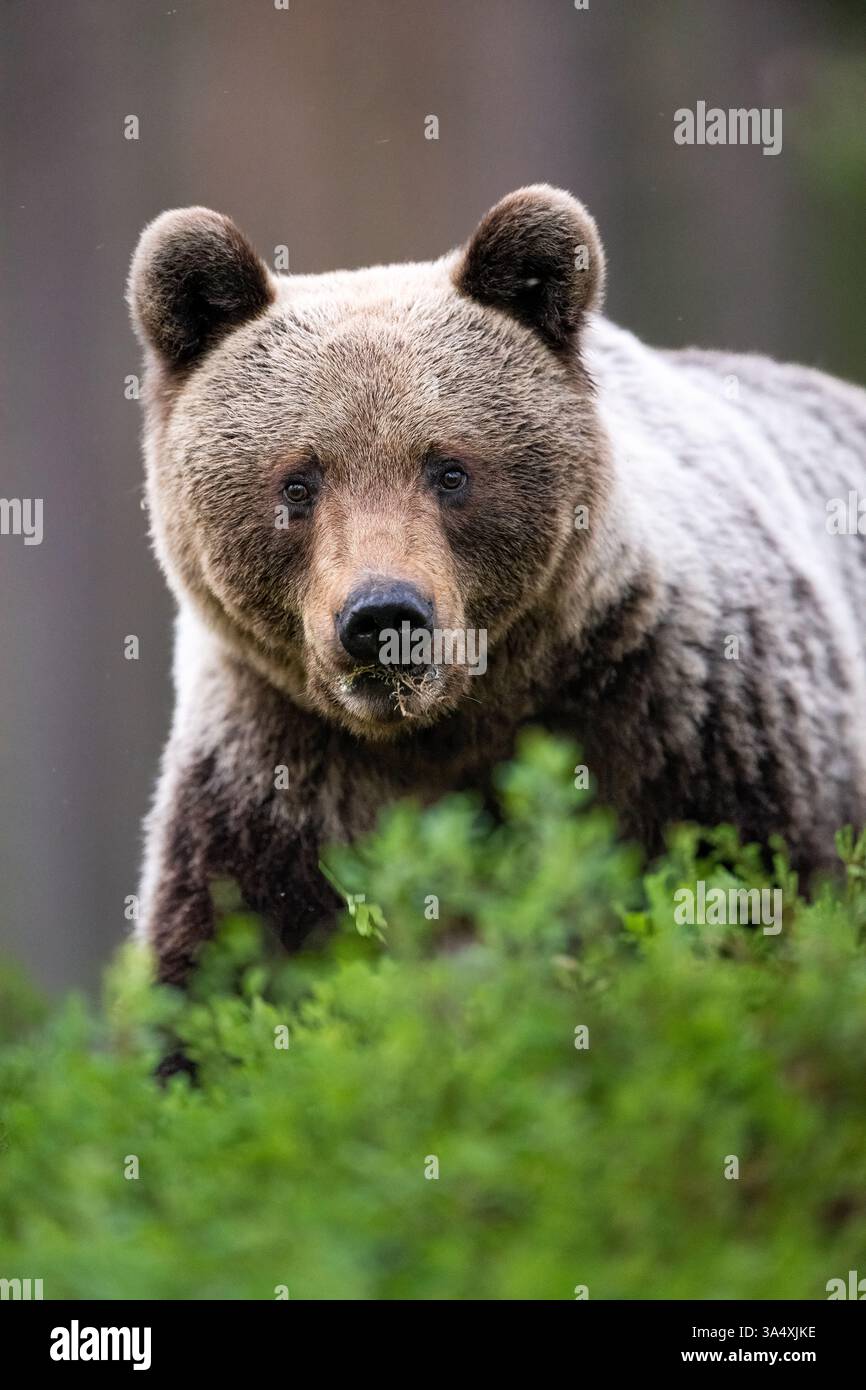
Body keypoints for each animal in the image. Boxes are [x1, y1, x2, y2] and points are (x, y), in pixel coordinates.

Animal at [128, 185, 866, 986]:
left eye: (449, 469)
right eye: (298, 482)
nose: (383, 615)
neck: (444, 732)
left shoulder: (687, 722)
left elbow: (755, 888)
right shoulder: (271, 774)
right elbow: (225, 958)